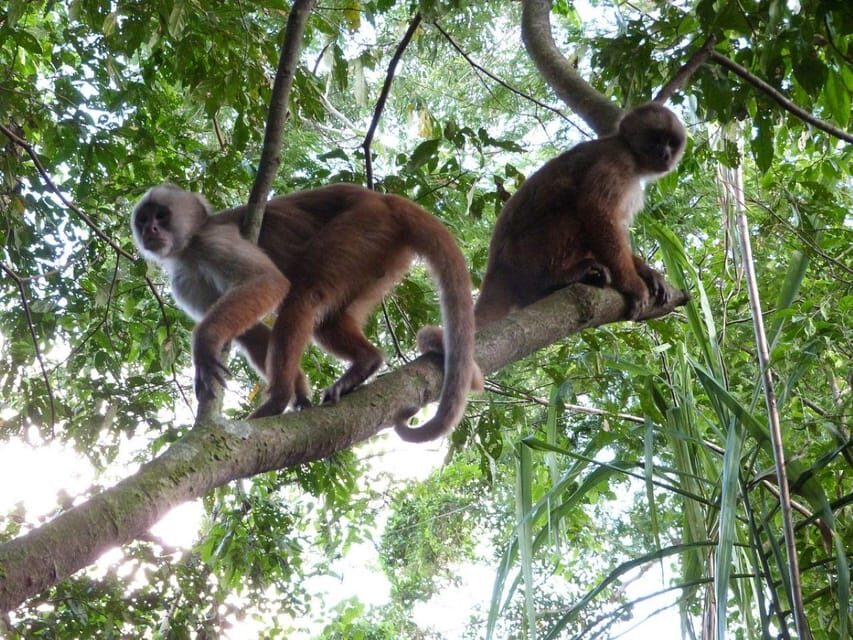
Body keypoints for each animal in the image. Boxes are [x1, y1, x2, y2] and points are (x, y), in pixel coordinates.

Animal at [132, 183, 480, 442]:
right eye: (143, 219)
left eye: (161, 215)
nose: (150, 229)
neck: (188, 248)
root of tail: (382, 199)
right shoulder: (185, 280)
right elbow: (253, 332)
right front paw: (299, 391)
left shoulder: (213, 240)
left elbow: (269, 283)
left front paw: (205, 343)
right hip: (378, 255)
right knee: (326, 320)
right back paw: (365, 362)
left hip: (363, 225)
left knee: (302, 294)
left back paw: (278, 397)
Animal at [473, 102, 686, 327]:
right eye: (656, 139)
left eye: (671, 143)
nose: (665, 154)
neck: (632, 154)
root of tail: (496, 267)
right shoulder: (618, 160)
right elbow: (596, 212)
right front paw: (632, 284)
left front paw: (647, 272)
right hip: (524, 256)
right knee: (575, 213)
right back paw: (556, 278)